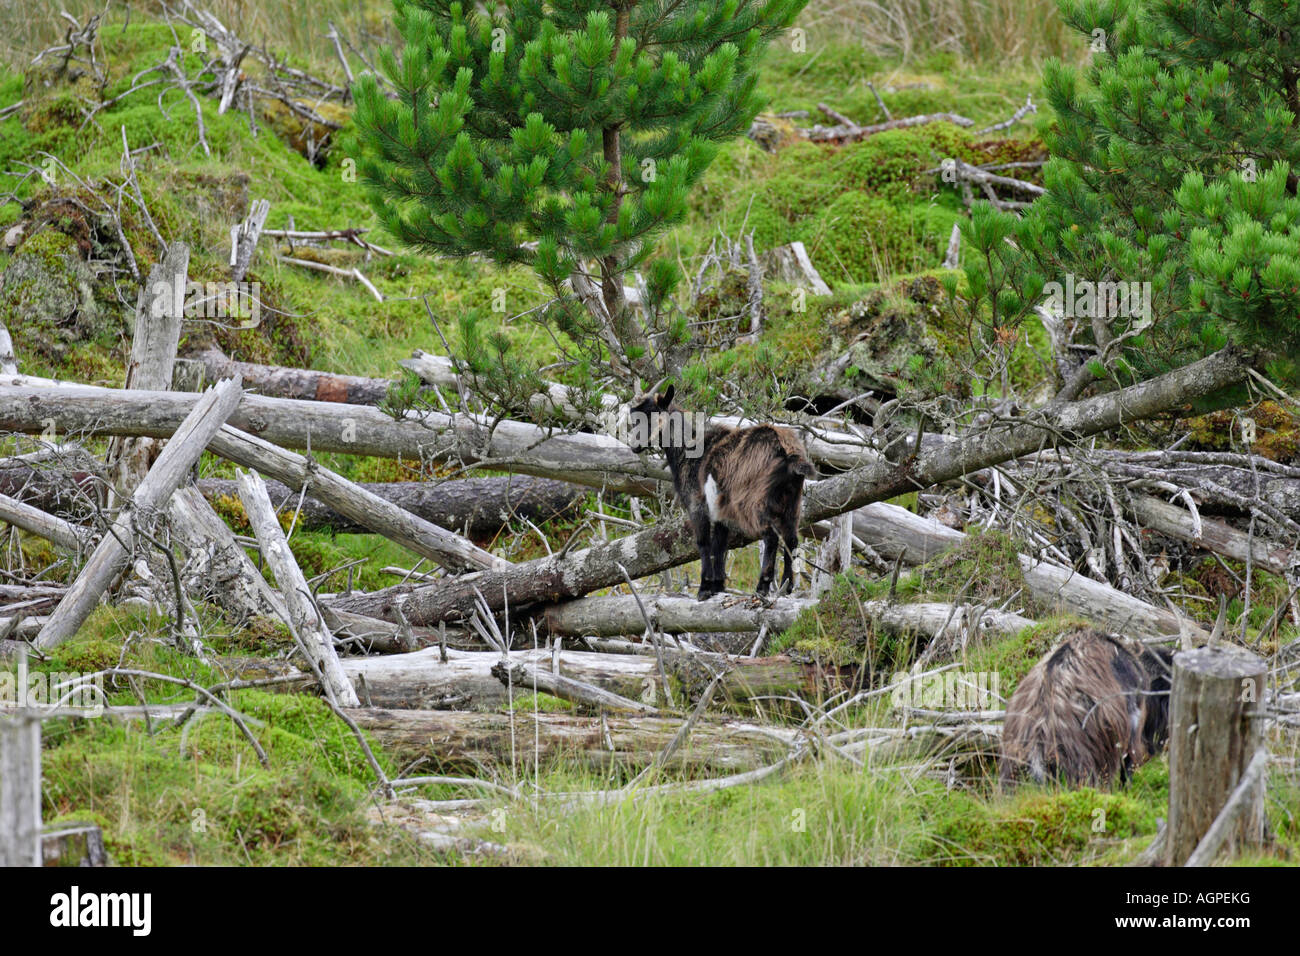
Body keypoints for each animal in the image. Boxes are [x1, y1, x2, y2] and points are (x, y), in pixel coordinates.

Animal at [626, 384, 814, 600]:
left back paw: (762, 587)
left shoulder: (696, 502)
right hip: (792, 501)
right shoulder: (719, 510)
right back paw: (786, 586)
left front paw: (704, 589)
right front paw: (718, 586)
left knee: (770, 535)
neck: (688, 448)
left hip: (752, 502)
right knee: (791, 539)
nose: (634, 446)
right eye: (634, 416)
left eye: (652, 413)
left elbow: (704, 542)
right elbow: (719, 544)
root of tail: (789, 453)